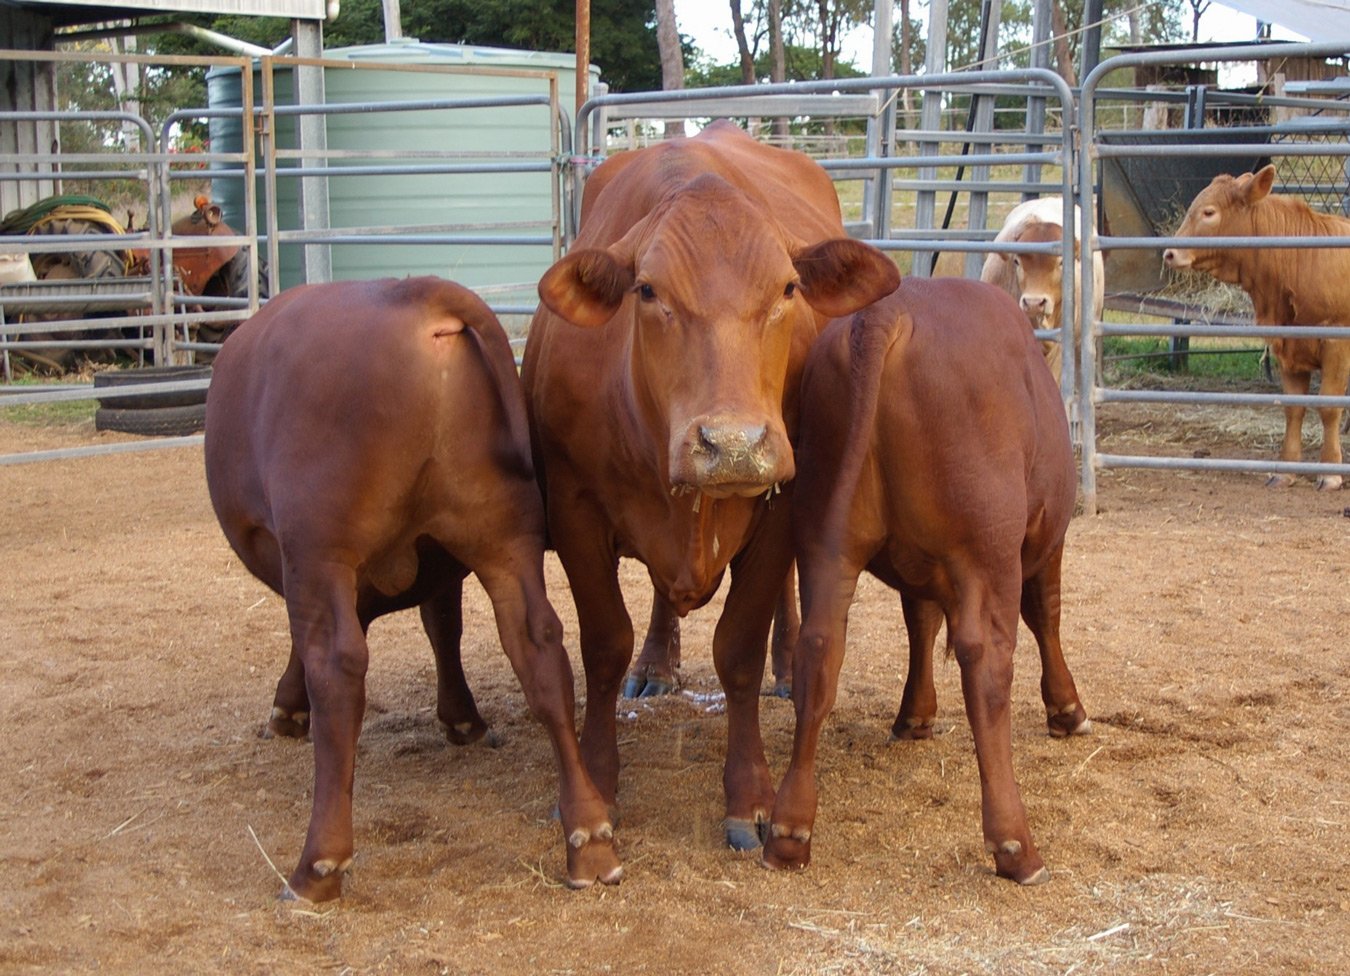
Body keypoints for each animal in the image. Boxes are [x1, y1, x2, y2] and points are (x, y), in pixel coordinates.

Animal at [204, 277, 619, 902]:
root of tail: (416, 293)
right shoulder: (440, 559)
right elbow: (443, 625)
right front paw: (462, 717)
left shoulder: (309, 563)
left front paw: (288, 707)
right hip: (502, 539)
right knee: (540, 649)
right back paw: (590, 839)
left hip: (318, 549)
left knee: (338, 666)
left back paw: (318, 866)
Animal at [522, 120, 899, 849]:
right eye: (647, 291)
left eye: (788, 289)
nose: (733, 446)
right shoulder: (575, 507)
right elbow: (603, 646)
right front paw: (598, 778)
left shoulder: (779, 503)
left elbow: (739, 649)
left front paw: (749, 794)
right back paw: (655, 666)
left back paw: (790, 665)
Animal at [761, 276, 1089, 885]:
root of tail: (887, 312)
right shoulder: (1045, 538)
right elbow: (1046, 615)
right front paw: (1067, 710)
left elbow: (920, 622)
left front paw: (915, 715)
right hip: (988, 552)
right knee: (986, 663)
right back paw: (1015, 845)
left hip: (824, 538)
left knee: (820, 649)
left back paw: (789, 831)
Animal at [1162, 164, 1350, 490]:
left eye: (1209, 212)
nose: (1170, 253)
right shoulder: (1288, 346)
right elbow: (1293, 408)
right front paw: (1285, 470)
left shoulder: (1337, 344)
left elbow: (1328, 407)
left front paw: (1330, 473)